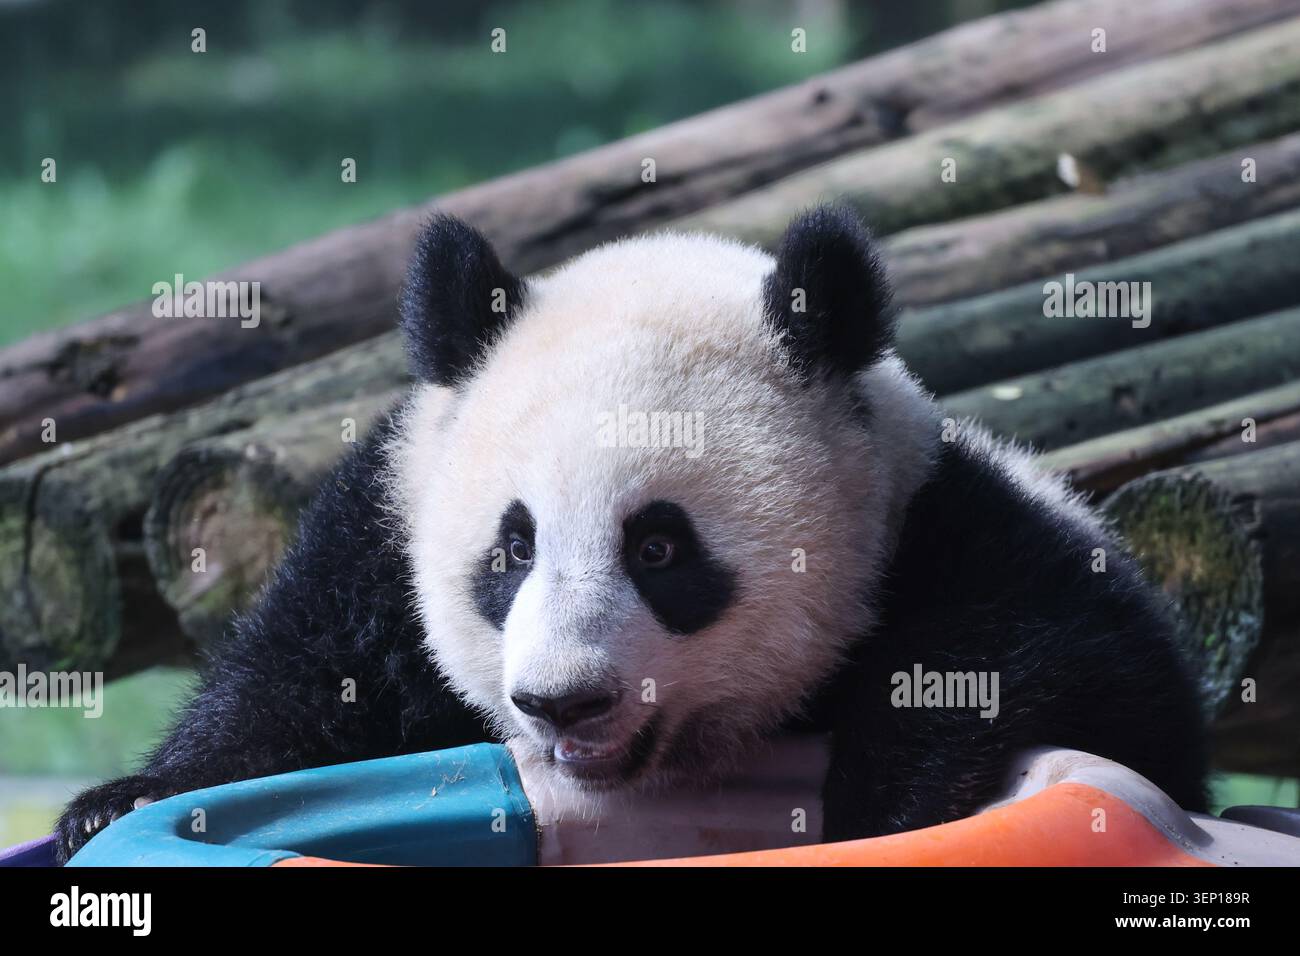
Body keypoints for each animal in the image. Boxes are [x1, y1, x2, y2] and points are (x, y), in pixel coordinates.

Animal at [54, 205, 1207, 863]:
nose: (563, 700)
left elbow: (1053, 663)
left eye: (659, 549)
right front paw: (113, 808)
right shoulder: (378, 534)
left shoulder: (952, 525)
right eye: (511, 550)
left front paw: (881, 809)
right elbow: (291, 687)